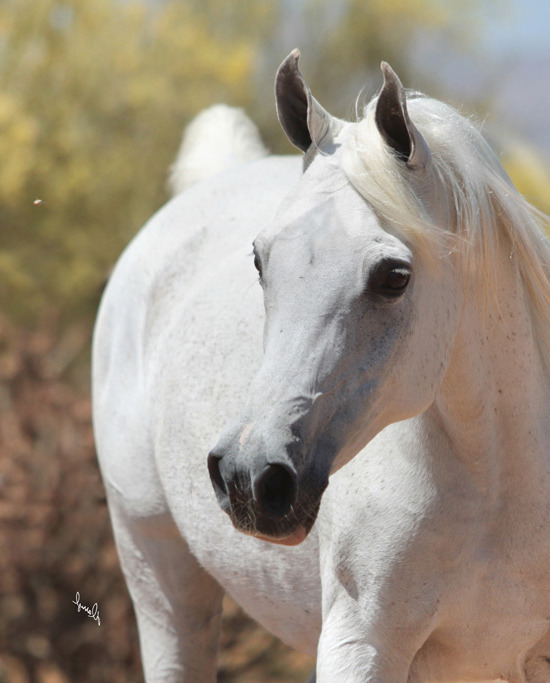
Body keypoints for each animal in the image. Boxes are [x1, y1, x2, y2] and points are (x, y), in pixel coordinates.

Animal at [92, 49, 550, 682]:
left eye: (395, 277)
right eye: (259, 261)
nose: (250, 477)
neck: (498, 486)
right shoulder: (358, 646)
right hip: (161, 585)